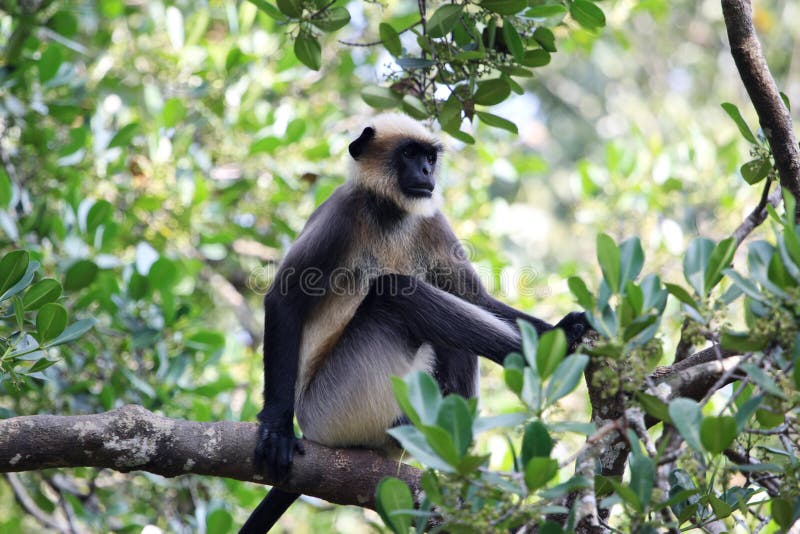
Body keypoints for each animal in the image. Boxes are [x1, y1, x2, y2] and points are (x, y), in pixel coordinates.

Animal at [240, 113, 589, 533]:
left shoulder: (431, 221)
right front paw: (276, 426)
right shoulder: (341, 214)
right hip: (337, 407)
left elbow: (477, 300)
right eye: (409, 154)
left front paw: (567, 327)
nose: (425, 171)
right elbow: (284, 299)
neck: (390, 213)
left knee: (449, 340)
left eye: (429, 157)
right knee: (396, 292)